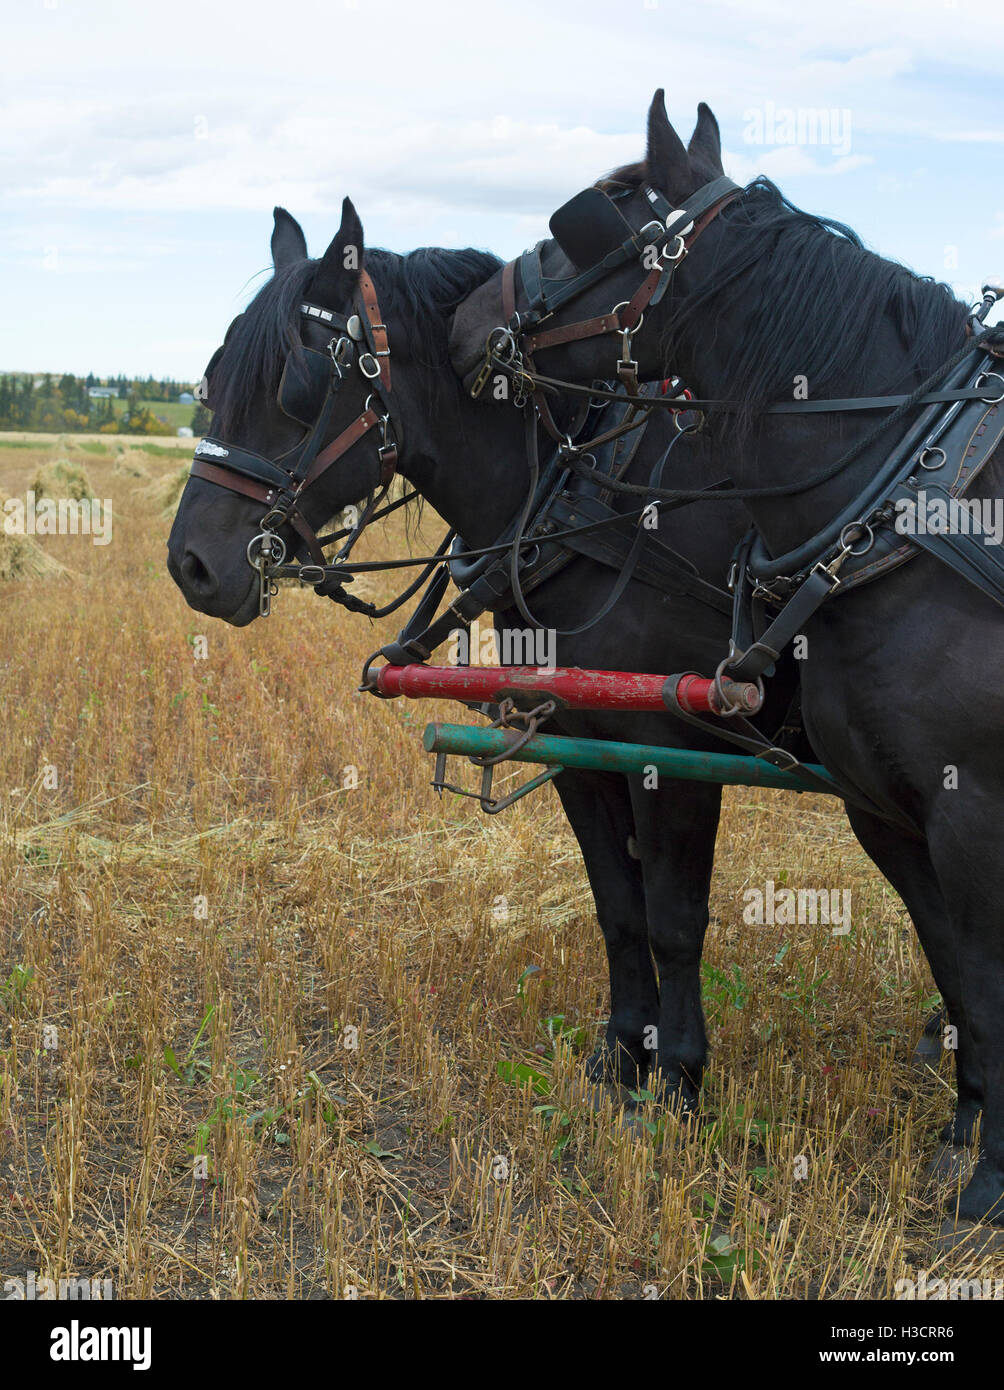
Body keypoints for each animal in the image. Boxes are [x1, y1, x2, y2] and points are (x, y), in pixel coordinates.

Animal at [448, 92, 1004, 1244]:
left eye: (589, 218)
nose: (463, 322)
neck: (920, 502)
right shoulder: (887, 805)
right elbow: (960, 971)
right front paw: (963, 1125)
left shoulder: (969, 804)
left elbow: (981, 967)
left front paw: (992, 1178)